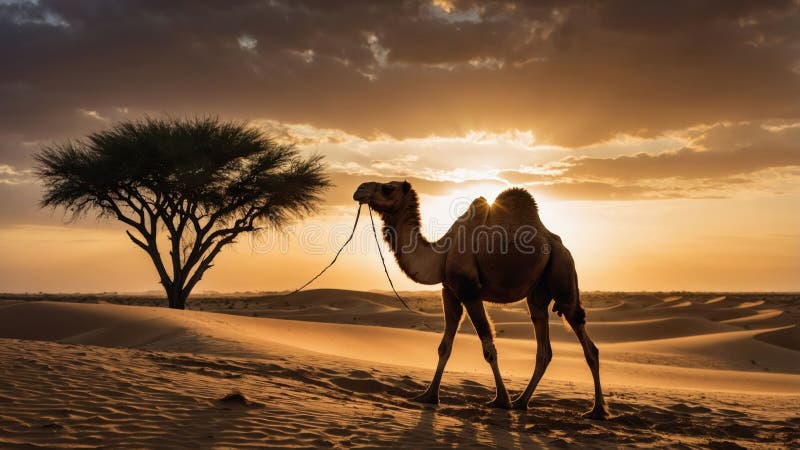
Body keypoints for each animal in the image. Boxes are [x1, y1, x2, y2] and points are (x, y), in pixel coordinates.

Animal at [353, 180, 609, 419]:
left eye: (388, 188)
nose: (359, 189)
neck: (441, 254)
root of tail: (560, 245)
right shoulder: (450, 292)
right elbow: (444, 347)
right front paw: (428, 396)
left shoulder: (470, 292)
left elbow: (488, 348)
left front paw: (501, 399)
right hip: (537, 294)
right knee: (544, 348)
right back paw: (522, 401)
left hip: (562, 273)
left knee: (585, 338)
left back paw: (596, 410)